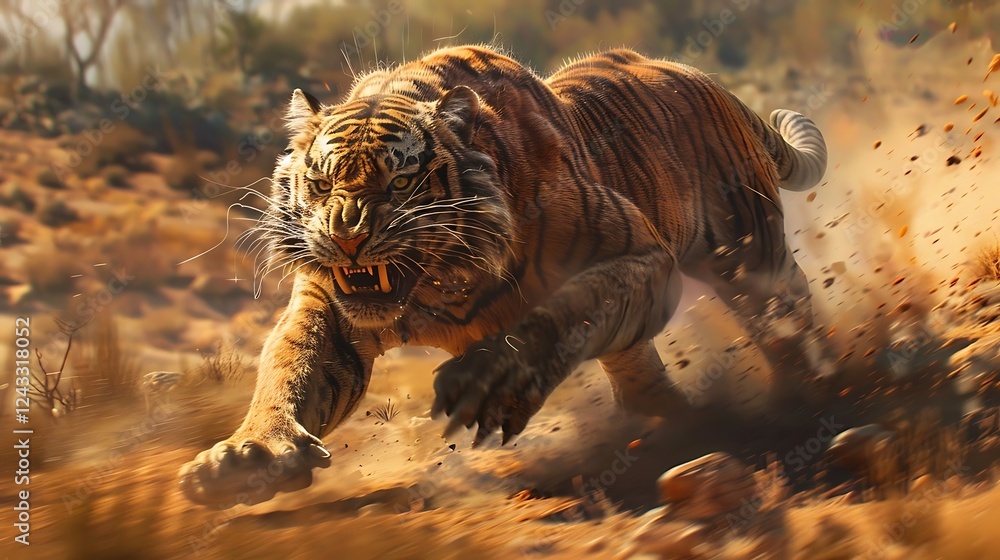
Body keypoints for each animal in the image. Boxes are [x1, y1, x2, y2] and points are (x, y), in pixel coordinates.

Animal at [179, 44, 832, 507]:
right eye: (319, 183)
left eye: (400, 181)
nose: (346, 236)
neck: (442, 280)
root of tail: (693, 73)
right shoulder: (330, 310)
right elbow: (289, 370)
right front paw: (245, 457)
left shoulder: (643, 257)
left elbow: (562, 315)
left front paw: (488, 384)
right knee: (640, 371)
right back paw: (674, 423)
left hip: (752, 257)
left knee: (790, 322)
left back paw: (806, 398)